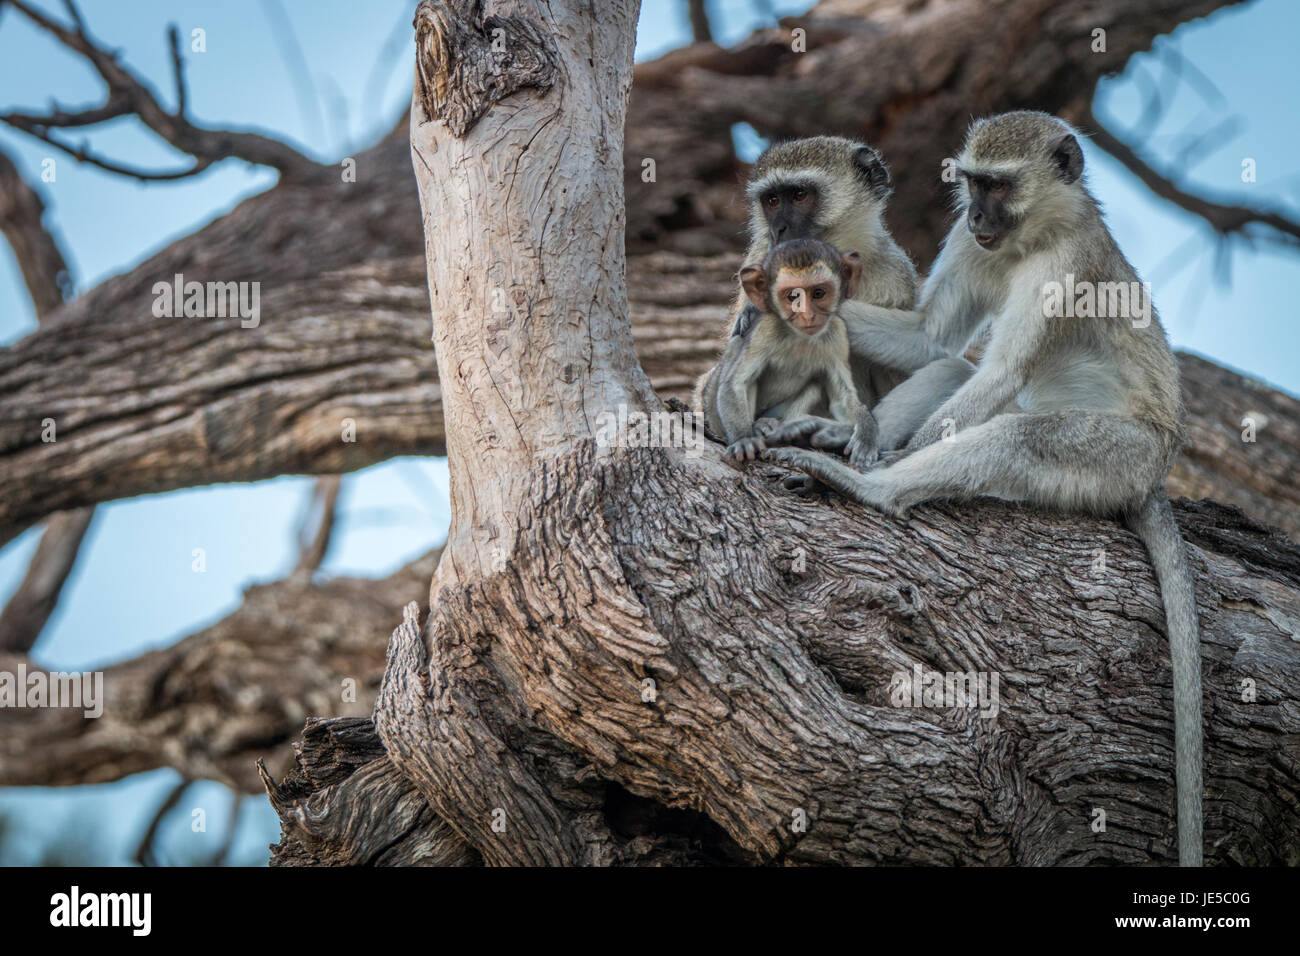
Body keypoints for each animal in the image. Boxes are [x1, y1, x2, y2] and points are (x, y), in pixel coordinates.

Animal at [697, 238, 878, 467]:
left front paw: (867, 432)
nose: (807, 315)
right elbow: (734, 384)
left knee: (815, 384)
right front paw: (743, 439)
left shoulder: (838, 334)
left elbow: (842, 400)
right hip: (714, 414)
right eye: (793, 296)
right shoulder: (765, 330)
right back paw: (757, 427)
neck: (799, 336)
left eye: (818, 293)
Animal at [762, 111, 1204, 866]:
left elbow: (999, 373)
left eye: (999, 186)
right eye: (971, 184)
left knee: (1017, 436)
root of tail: (1156, 470)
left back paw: (875, 487)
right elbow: (929, 338)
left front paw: (882, 460)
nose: (974, 214)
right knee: (946, 372)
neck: (1037, 234)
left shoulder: (1064, 268)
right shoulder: (975, 248)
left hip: (1117, 456)